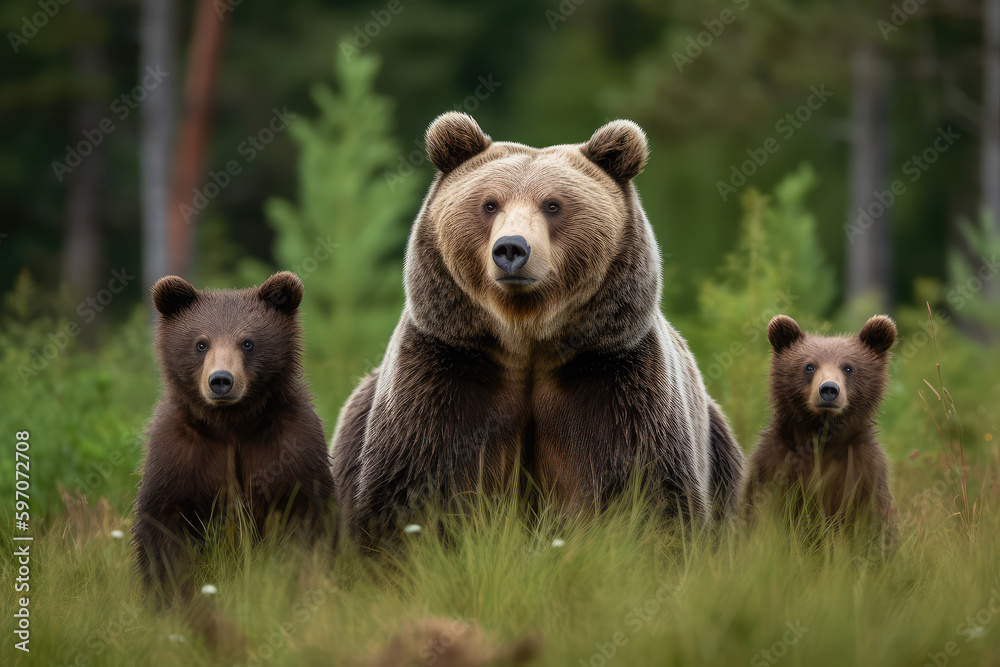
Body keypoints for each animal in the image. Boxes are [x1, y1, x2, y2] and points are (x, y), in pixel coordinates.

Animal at [132, 271, 335, 597]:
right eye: (201, 343)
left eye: (247, 342)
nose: (221, 380)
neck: (231, 423)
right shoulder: (181, 451)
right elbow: (163, 524)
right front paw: (171, 594)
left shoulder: (287, 442)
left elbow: (306, 511)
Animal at [331, 112, 746, 544]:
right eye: (489, 204)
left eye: (553, 205)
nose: (511, 248)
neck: (526, 340)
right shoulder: (447, 370)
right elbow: (411, 485)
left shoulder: (614, 378)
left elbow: (648, 490)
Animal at [741, 314, 897, 543]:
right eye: (809, 366)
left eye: (848, 367)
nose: (829, 390)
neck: (821, 437)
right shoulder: (773, 466)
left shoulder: (864, 471)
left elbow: (875, 523)